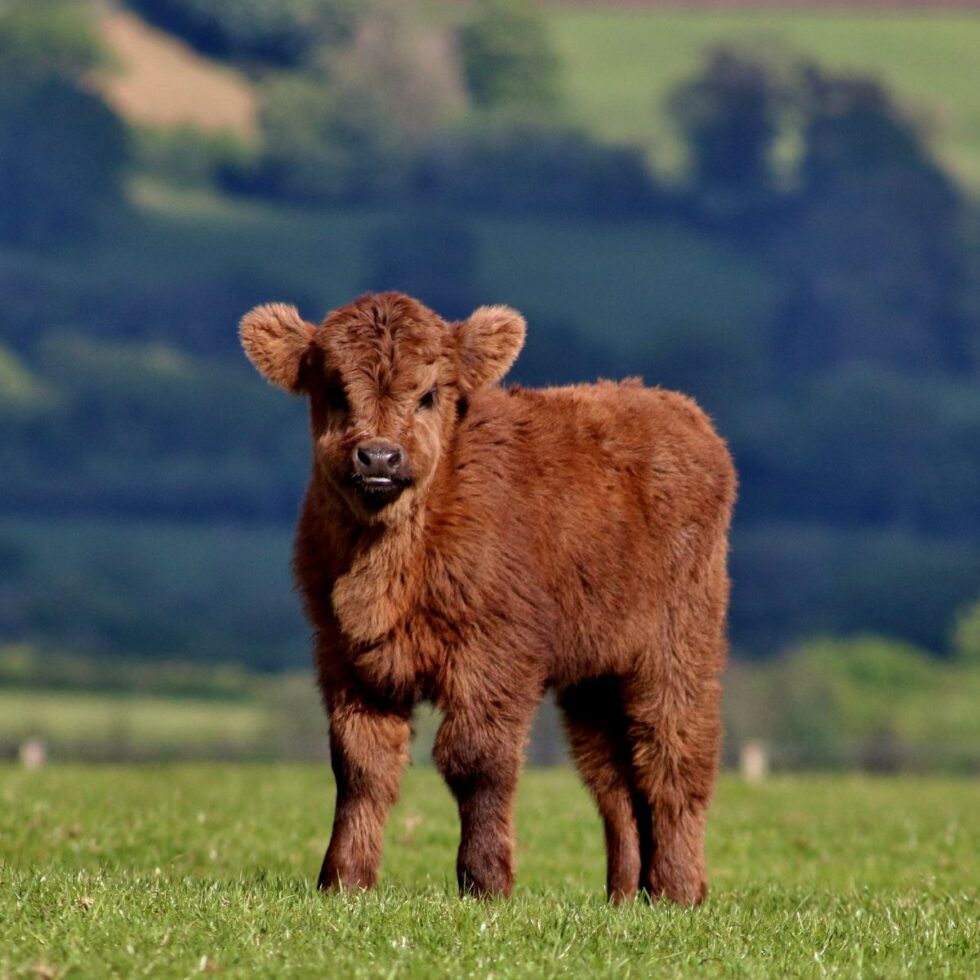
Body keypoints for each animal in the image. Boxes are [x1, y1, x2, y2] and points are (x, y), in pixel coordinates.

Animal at [239, 291, 736, 905]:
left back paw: (677, 890)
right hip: (595, 675)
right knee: (615, 777)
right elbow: (361, 766)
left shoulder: (495, 658)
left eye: (430, 393)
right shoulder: (346, 659)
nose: (378, 458)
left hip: (678, 648)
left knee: (674, 756)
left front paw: (485, 882)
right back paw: (625, 895)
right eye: (333, 390)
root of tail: (678, 409)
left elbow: (476, 760)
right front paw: (344, 880)